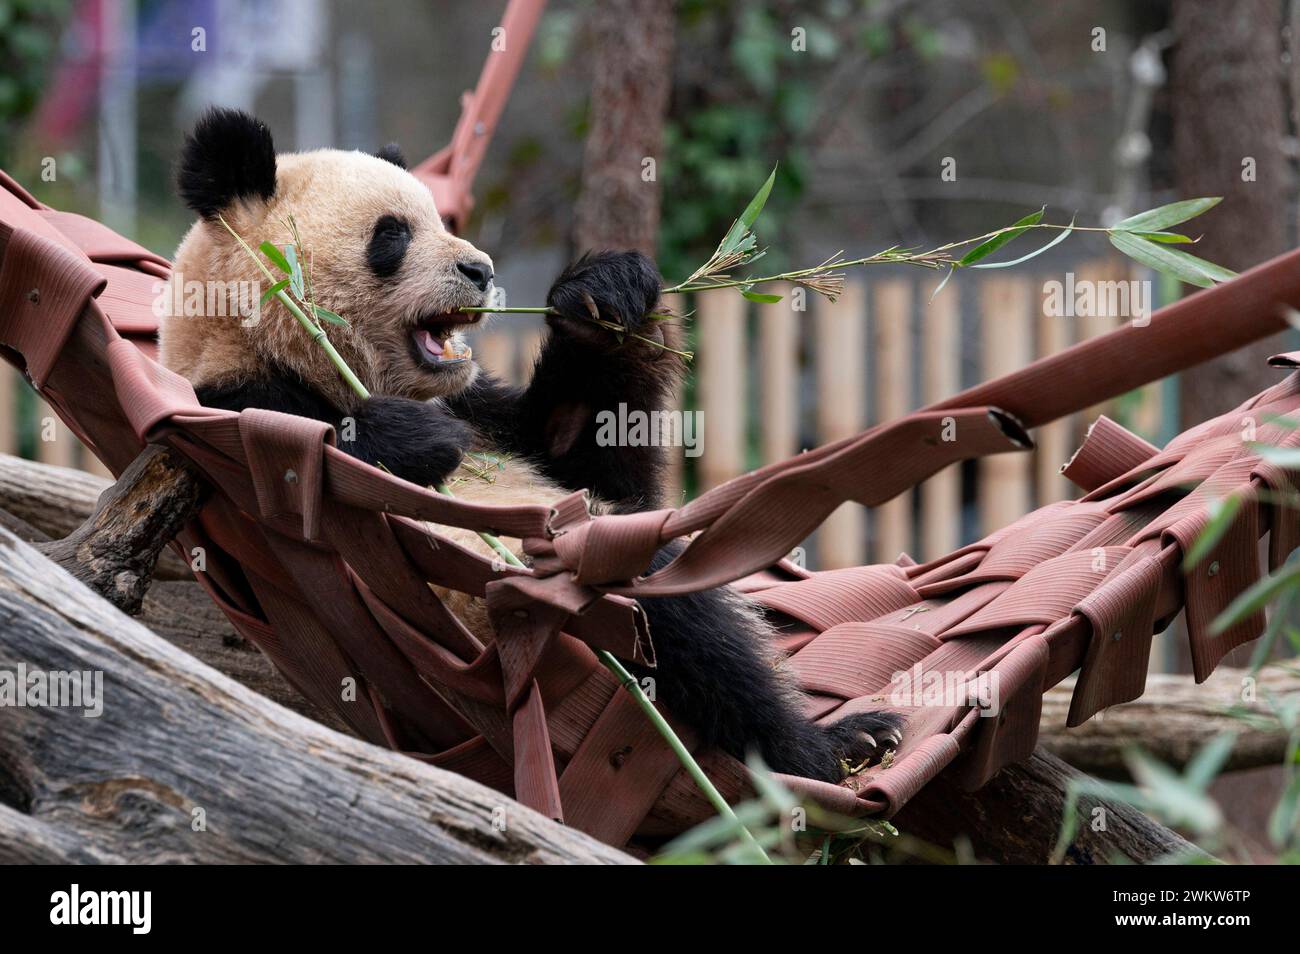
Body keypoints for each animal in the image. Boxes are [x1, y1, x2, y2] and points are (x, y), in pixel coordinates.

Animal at [161, 107, 902, 782]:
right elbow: (311, 463)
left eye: (441, 219)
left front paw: (604, 296)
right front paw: (415, 439)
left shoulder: (482, 405)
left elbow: (594, 459)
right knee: (676, 617)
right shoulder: (227, 402)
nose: (480, 268)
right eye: (392, 234)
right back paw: (822, 750)